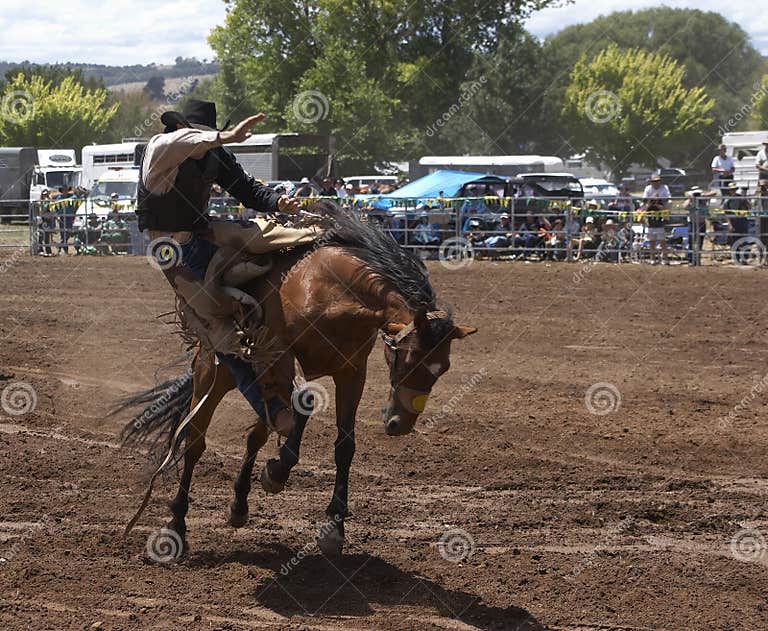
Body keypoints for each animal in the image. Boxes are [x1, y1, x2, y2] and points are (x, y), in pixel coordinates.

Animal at [117, 209, 476, 556]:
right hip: (214, 375)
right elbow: (305, 403)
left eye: (443, 368)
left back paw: (239, 505)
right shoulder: (282, 357)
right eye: (409, 357)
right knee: (195, 442)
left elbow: (344, 445)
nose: (400, 424)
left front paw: (334, 527)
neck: (334, 290)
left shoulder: (352, 372)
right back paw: (176, 525)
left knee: (257, 435)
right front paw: (277, 473)